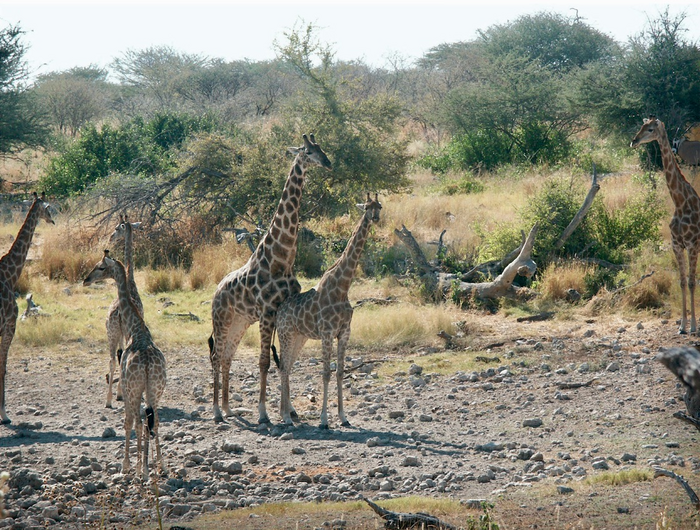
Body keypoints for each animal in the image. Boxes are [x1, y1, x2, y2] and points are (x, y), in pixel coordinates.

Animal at [84, 250, 166, 480]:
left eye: (101, 267)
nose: (86, 280)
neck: (135, 329)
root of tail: (147, 366)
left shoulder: (129, 389)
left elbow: (129, 422)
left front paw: (128, 466)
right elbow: (146, 423)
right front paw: (145, 466)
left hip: (136, 389)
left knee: (137, 421)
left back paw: (142, 470)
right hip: (155, 390)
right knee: (154, 421)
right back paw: (160, 467)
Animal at [209, 134, 332, 424]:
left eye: (322, 149)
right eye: (308, 151)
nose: (328, 163)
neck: (281, 259)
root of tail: (216, 291)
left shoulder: (280, 310)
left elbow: (282, 361)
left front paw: (289, 411)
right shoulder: (267, 312)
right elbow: (265, 361)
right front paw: (264, 413)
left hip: (240, 322)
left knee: (227, 357)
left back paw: (228, 408)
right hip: (222, 318)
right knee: (216, 355)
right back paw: (217, 411)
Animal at [276, 194, 382, 428]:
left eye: (379, 206)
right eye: (366, 207)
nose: (375, 218)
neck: (343, 288)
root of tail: (278, 310)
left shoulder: (344, 332)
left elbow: (340, 372)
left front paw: (343, 417)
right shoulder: (327, 333)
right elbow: (325, 373)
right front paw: (324, 420)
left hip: (299, 337)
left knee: (287, 366)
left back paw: (289, 412)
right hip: (285, 334)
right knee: (284, 367)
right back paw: (285, 416)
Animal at [631, 116, 700, 334]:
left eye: (650, 129)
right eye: (641, 126)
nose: (634, 141)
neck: (680, 202)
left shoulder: (692, 245)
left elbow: (692, 282)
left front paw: (693, 326)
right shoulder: (677, 245)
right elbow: (682, 282)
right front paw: (682, 326)